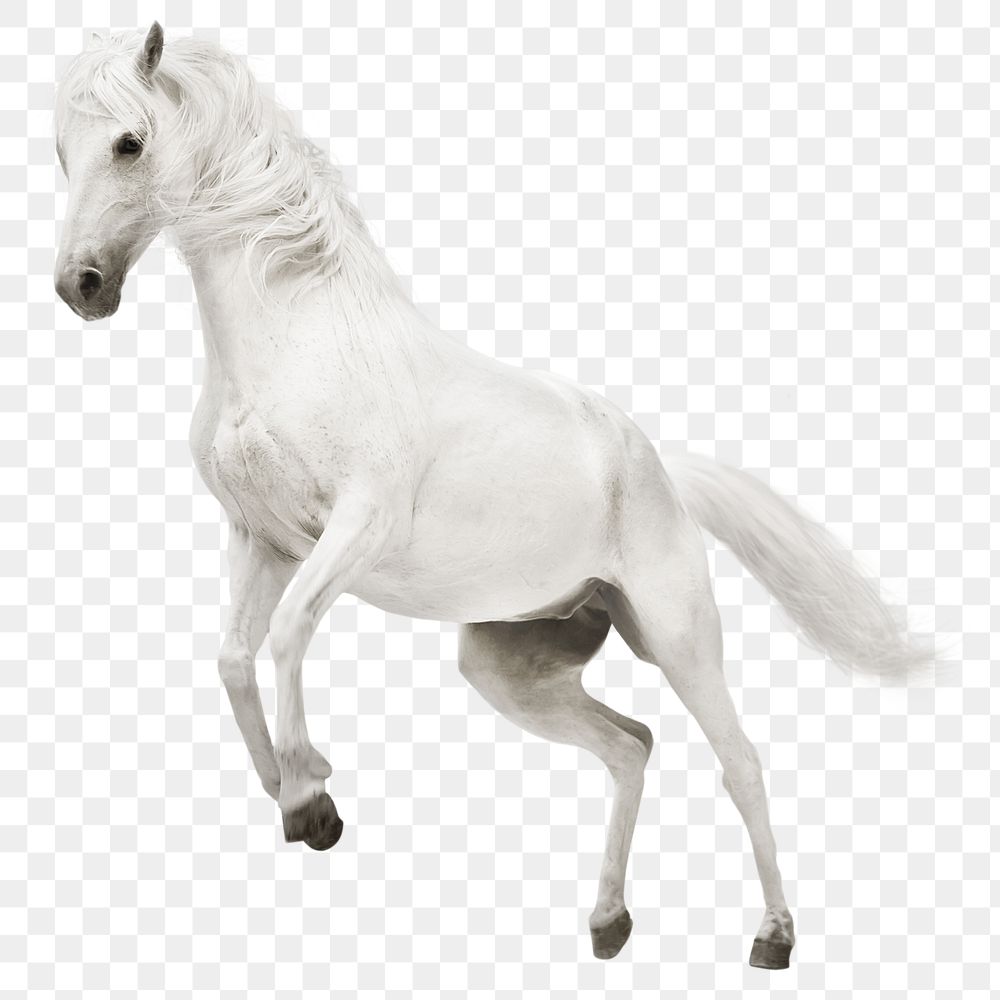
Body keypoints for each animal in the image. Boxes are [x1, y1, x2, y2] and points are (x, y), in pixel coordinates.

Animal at [53, 23, 932, 966]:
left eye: (130, 142)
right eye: (61, 153)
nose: (80, 287)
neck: (301, 339)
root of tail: (659, 466)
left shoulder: (355, 528)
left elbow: (286, 635)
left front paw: (310, 801)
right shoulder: (261, 539)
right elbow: (230, 657)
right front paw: (285, 781)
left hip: (678, 634)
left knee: (740, 762)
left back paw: (773, 935)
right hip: (509, 664)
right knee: (630, 747)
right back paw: (609, 923)